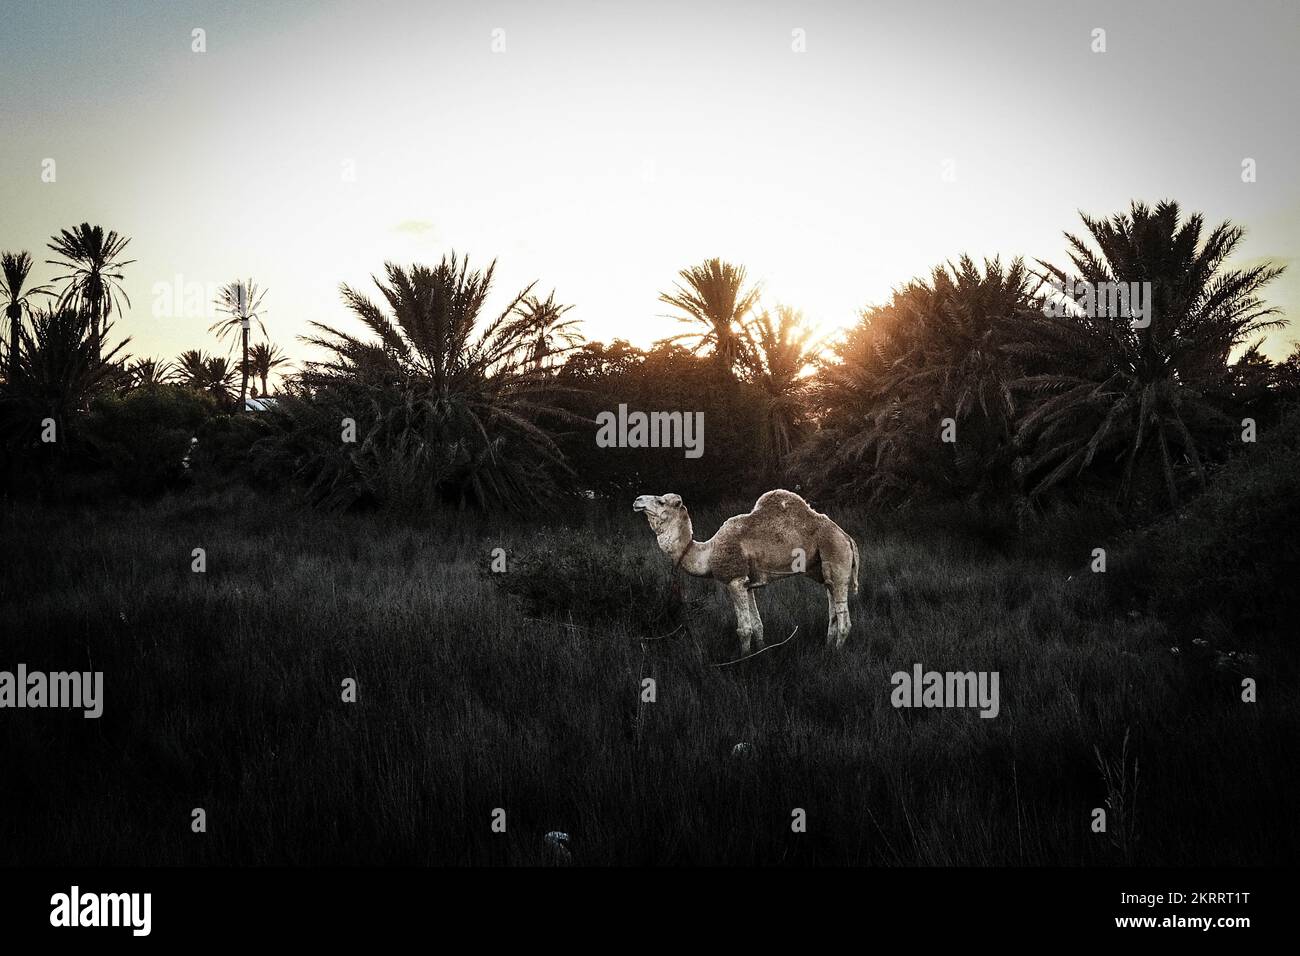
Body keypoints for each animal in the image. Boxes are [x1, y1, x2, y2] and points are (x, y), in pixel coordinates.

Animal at [633, 489, 860, 654]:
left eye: (661, 501)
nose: (637, 500)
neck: (708, 553)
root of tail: (847, 537)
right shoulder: (747, 584)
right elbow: (757, 625)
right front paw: (760, 652)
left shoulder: (735, 579)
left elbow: (744, 629)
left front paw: (744, 660)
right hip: (825, 571)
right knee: (831, 606)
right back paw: (828, 647)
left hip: (837, 557)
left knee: (844, 620)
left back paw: (836, 653)